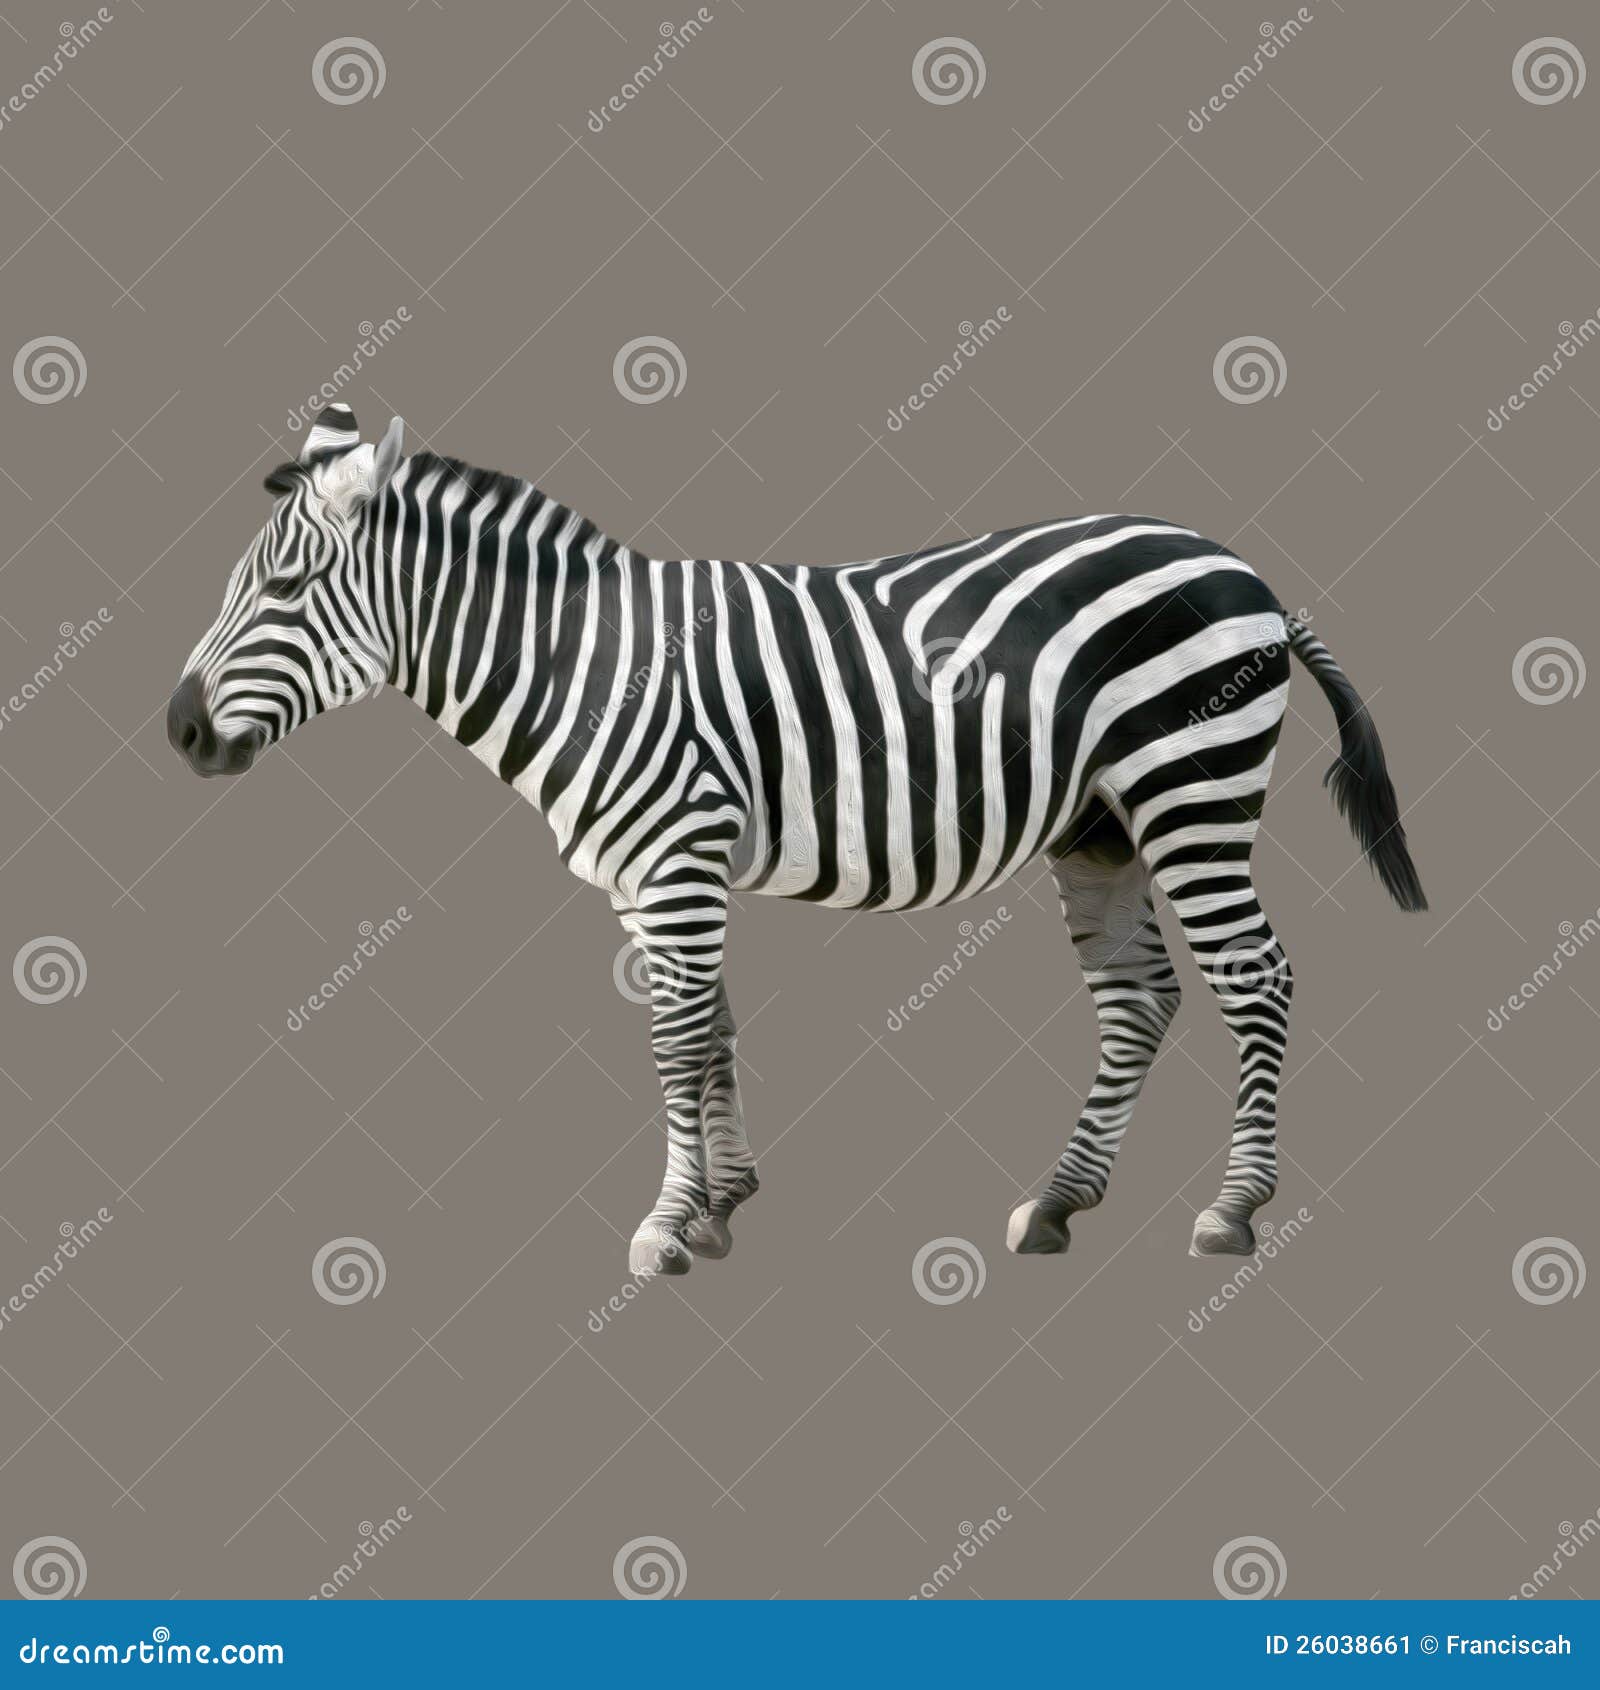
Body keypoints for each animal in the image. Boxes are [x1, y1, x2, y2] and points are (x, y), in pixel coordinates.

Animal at [168, 404, 1425, 1278]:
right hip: (1102, 824)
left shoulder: (677, 857)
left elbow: (675, 1040)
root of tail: (1240, 562)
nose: (178, 729)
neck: (583, 663)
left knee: (1255, 978)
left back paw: (1232, 1210)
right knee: (1139, 997)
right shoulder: (656, 871)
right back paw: (1060, 1201)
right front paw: (723, 1203)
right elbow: (712, 1026)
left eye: (286, 584)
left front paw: (666, 1227)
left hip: (1190, 788)